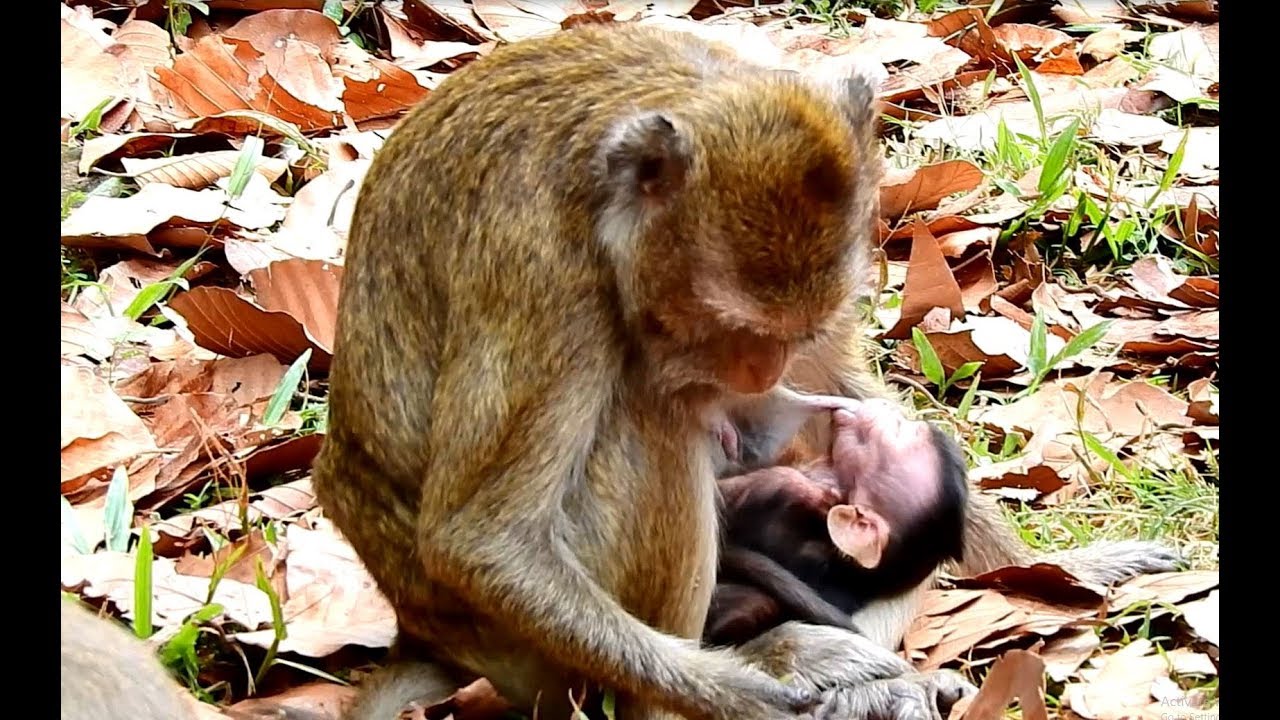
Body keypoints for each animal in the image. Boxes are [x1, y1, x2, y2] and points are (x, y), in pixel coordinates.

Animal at [311, 21, 973, 720]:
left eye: (797, 335)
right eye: (729, 329)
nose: (761, 375)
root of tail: (423, 633)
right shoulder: (547, 270)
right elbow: (481, 538)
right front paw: (746, 693)